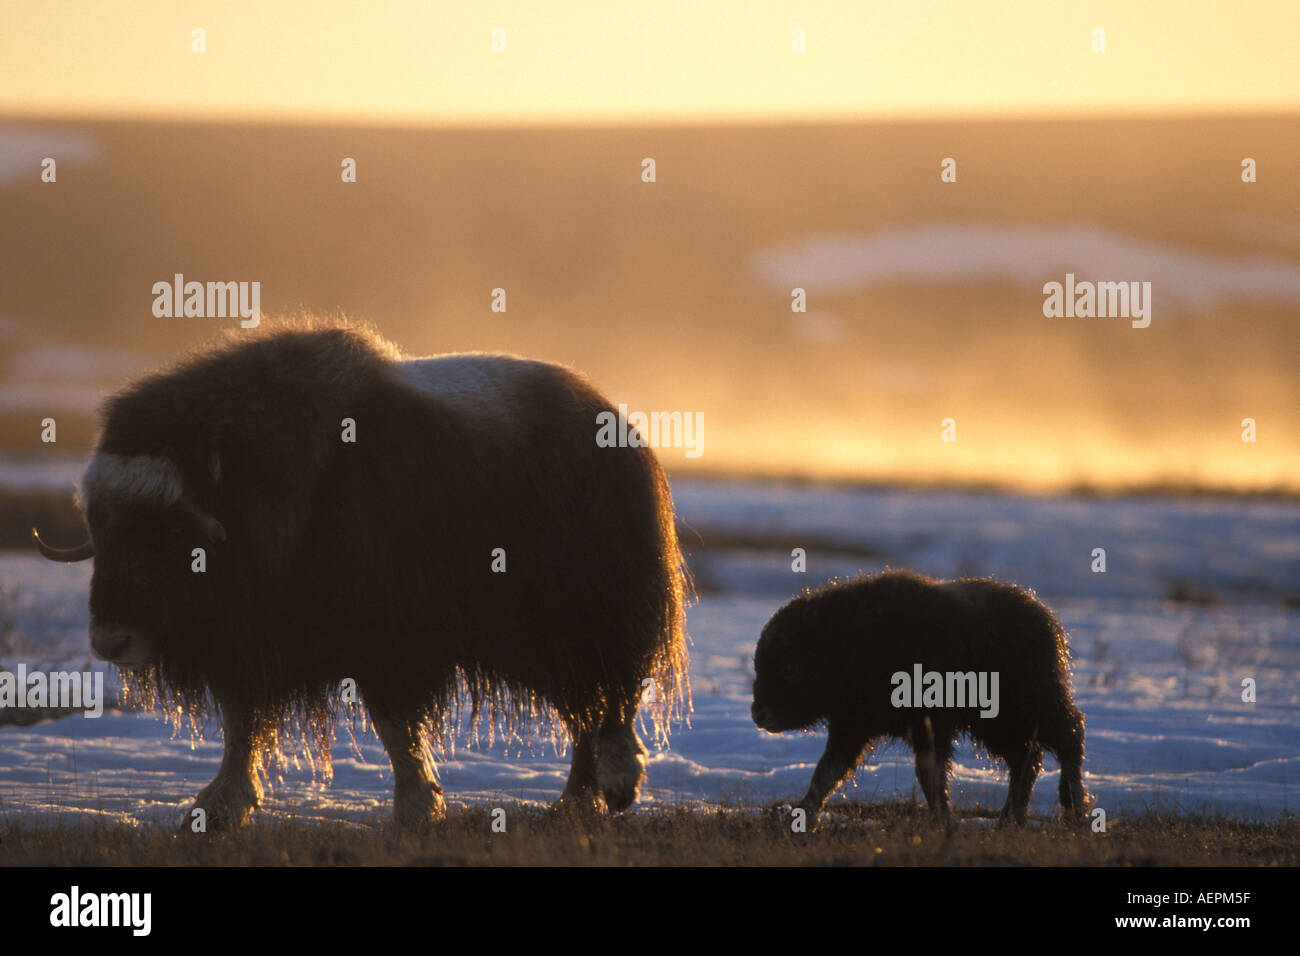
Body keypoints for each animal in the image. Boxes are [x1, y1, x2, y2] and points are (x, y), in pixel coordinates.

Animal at [34, 322, 691, 831]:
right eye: (101, 529)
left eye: (168, 534)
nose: (110, 641)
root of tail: (618, 425)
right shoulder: (256, 646)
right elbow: (242, 725)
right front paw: (217, 809)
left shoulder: (388, 642)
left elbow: (395, 726)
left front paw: (415, 809)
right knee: (583, 715)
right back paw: (574, 803)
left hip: (590, 622)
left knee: (610, 702)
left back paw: (614, 788)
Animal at [751, 570, 1087, 828]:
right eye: (759, 664)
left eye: (790, 669)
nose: (758, 714)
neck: (848, 644)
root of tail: (1047, 621)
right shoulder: (851, 728)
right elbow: (825, 772)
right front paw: (802, 816)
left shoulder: (931, 725)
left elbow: (929, 774)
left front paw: (943, 820)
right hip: (1000, 726)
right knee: (1028, 759)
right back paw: (1009, 820)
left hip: (1033, 707)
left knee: (1069, 737)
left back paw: (1075, 811)